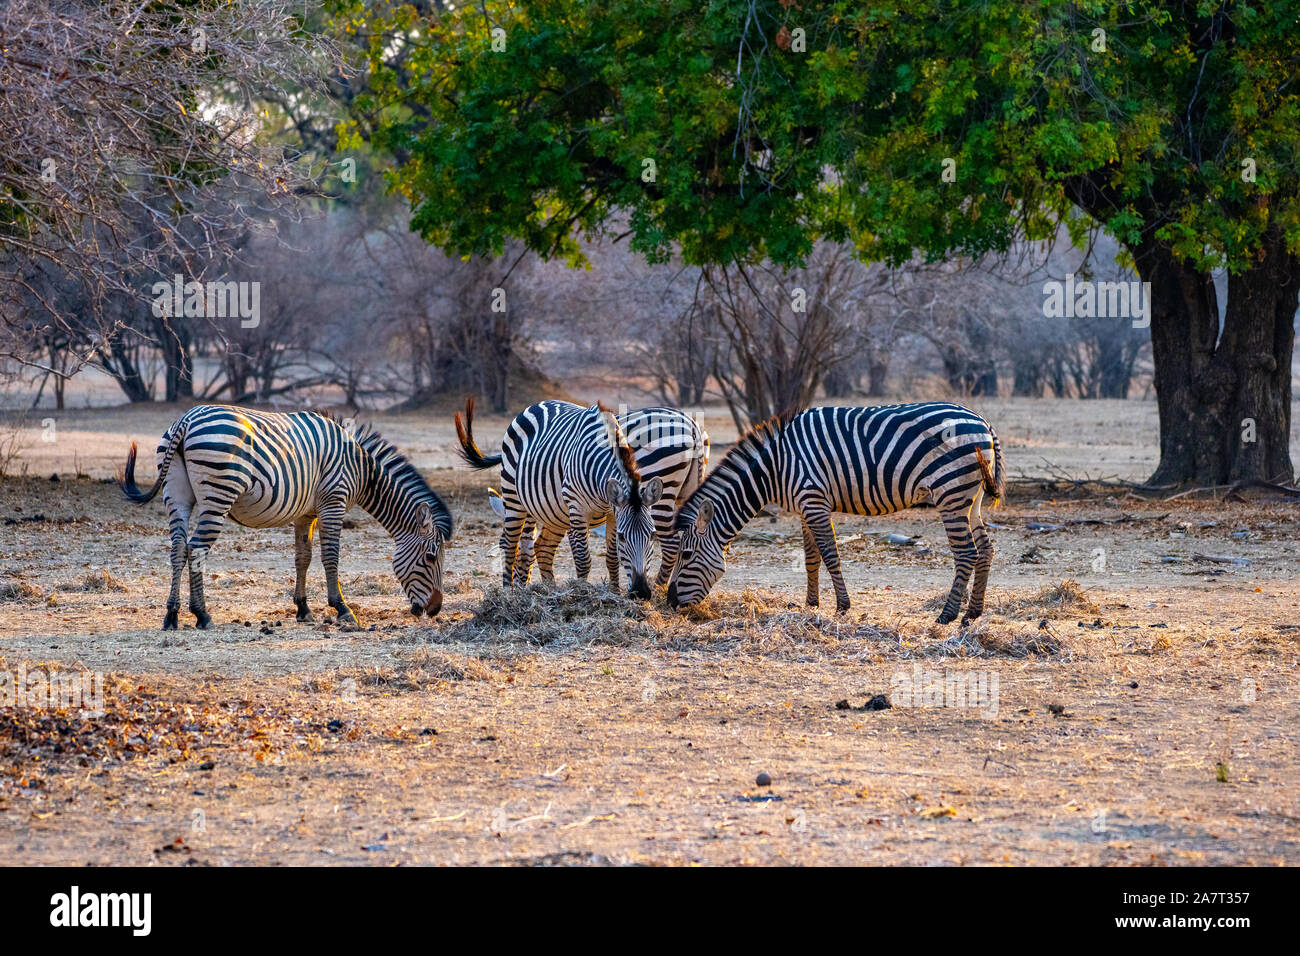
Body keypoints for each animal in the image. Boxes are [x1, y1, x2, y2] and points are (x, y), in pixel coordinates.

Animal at [120, 404, 454, 629]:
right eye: (430, 557)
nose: (436, 609)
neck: (361, 470)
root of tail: (186, 420)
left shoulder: (306, 514)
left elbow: (303, 558)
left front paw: (303, 609)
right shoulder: (333, 502)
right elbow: (330, 556)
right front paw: (342, 608)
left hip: (176, 493)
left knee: (178, 549)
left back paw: (172, 615)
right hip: (218, 493)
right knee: (196, 549)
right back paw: (202, 614)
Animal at [454, 398, 662, 598]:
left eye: (653, 535)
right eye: (622, 536)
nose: (641, 592)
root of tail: (536, 404)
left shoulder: (613, 513)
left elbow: (612, 558)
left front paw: (614, 594)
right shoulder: (577, 508)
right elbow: (583, 559)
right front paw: (582, 594)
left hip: (553, 512)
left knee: (540, 547)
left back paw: (548, 591)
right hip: (514, 498)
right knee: (511, 545)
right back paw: (507, 594)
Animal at [489, 406, 710, 590]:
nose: (521, 587)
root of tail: (692, 425)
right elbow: (543, 546)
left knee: (672, 544)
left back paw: (658, 589)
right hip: (687, 492)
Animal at [665, 403, 1005, 624]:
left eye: (686, 555)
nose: (669, 601)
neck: (775, 468)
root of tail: (982, 421)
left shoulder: (814, 500)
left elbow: (830, 554)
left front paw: (842, 606)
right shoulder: (804, 506)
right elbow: (811, 558)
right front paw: (811, 604)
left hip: (951, 493)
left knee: (966, 553)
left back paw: (947, 615)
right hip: (970, 497)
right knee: (986, 549)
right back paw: (973, 613)